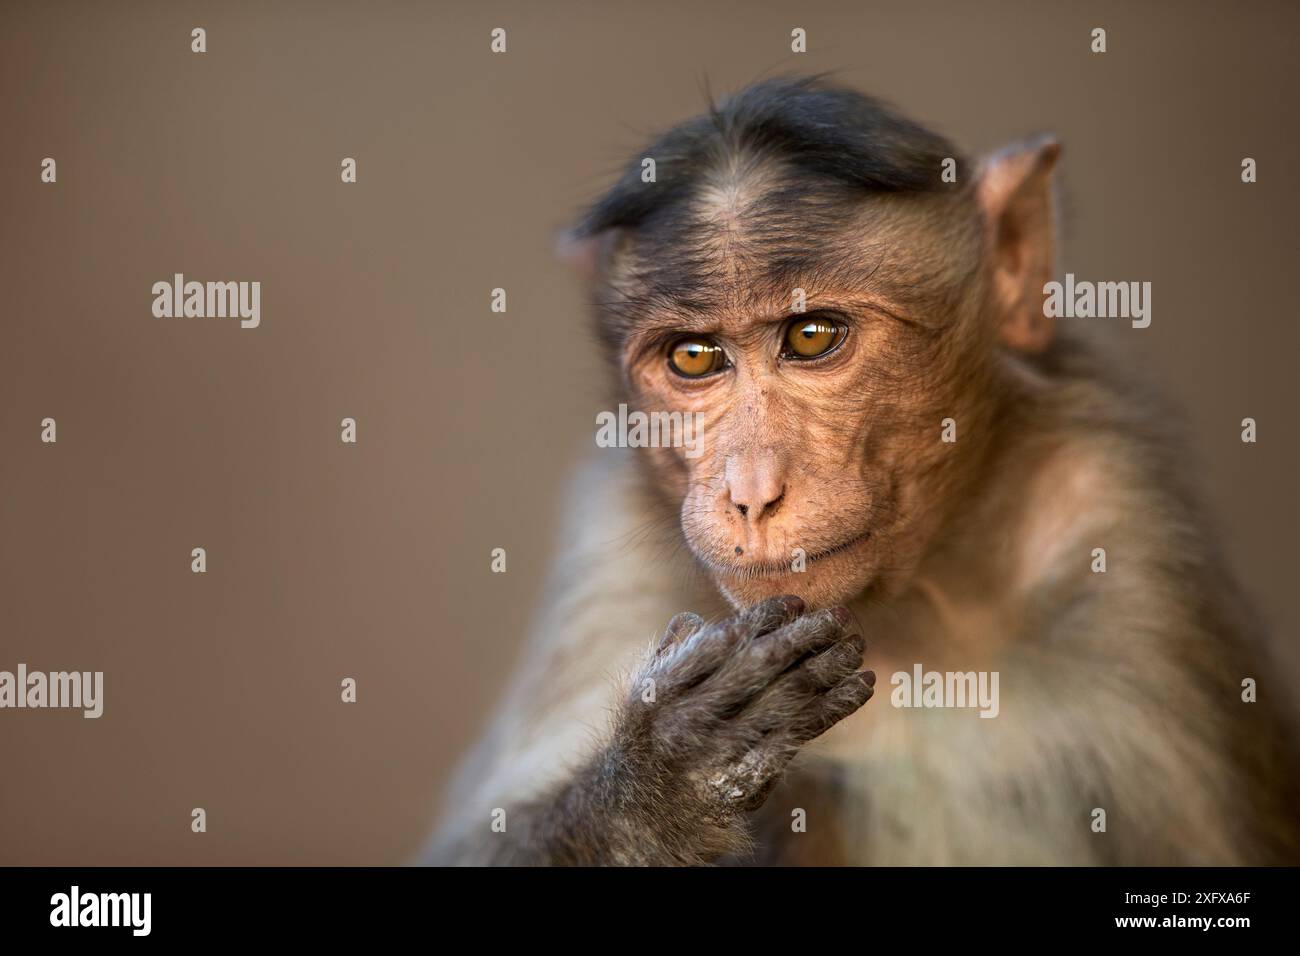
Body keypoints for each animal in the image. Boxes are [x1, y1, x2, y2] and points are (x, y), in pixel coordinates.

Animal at [424, 76, 1300, 866]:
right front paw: (672, 775)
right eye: (694, 357)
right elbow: (473, 845)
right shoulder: (614, 553)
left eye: (812, 336)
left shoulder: (1123, 538)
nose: (749, 493)